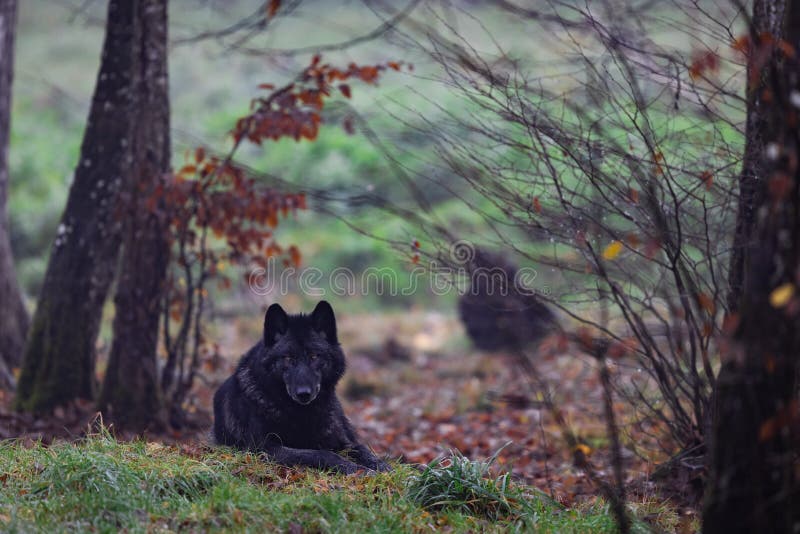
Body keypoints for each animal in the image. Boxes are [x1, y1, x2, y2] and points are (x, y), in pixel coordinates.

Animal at [213, 301, 390, 474]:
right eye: (288, 358)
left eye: (314, 356)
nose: (303, 393)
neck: (302, 413)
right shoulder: (264, 447)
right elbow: (321, 454)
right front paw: (357, 470)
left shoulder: (342, 440)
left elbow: (363, 449)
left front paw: (382, 467)